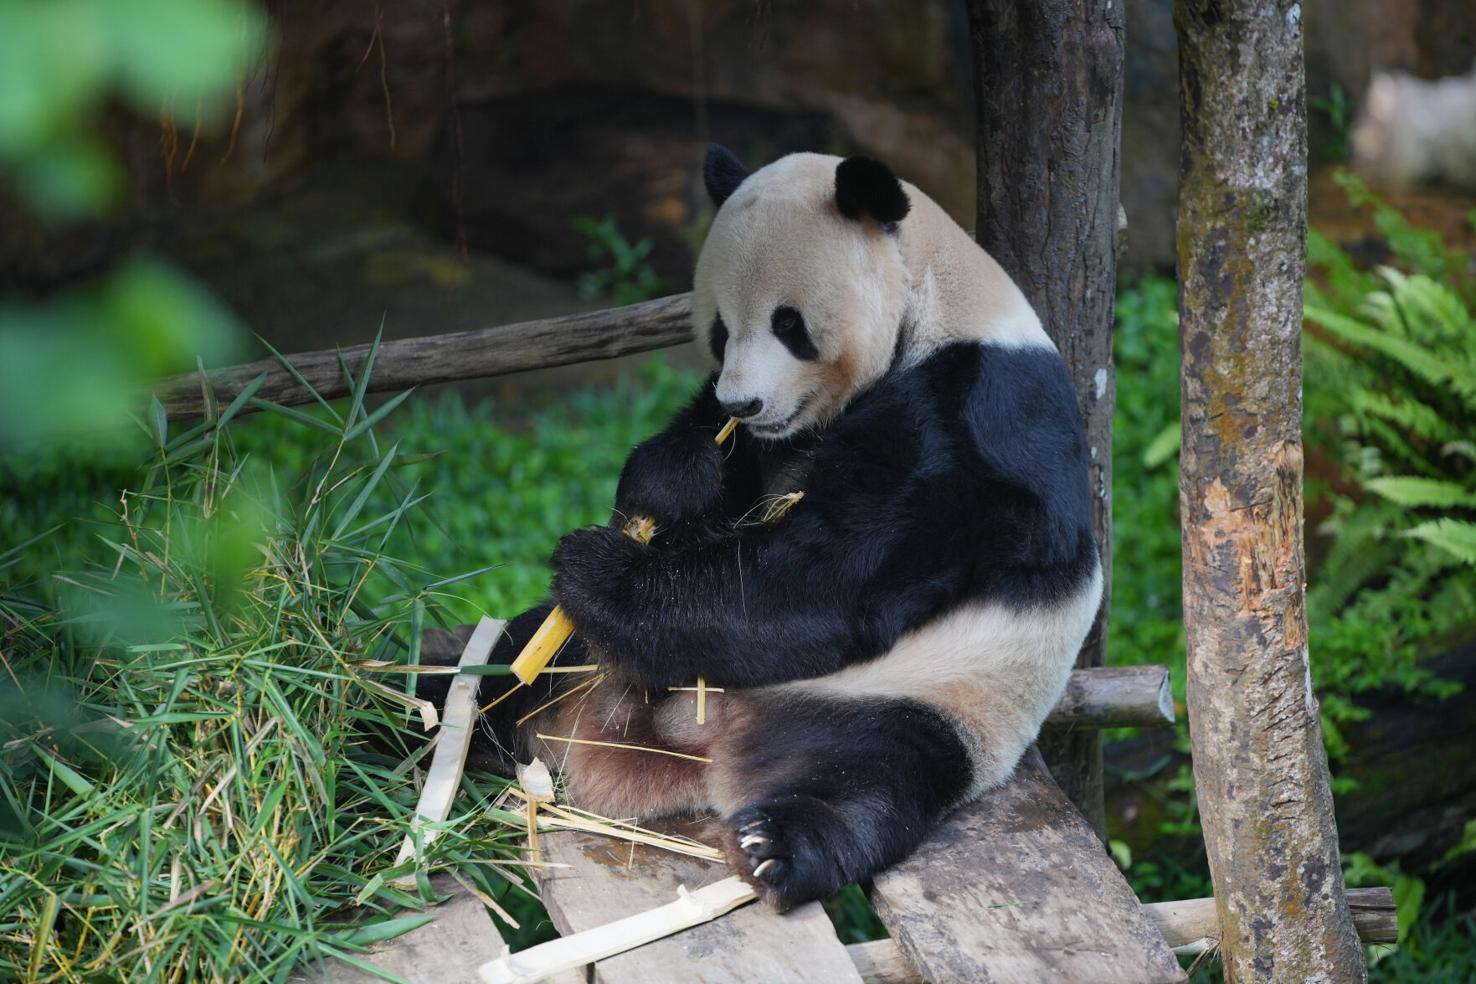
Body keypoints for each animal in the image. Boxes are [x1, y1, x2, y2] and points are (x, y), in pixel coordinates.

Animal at [435, 146, 1102, 909]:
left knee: (873, 780)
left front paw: (598, 569)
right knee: (503, 669)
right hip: (585, 663)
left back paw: (779, 845)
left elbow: (831, 577)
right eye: (721, 329)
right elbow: (716, 485)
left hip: (936, 702)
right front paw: (675, 475)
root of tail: (705, 749)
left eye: (790, 324)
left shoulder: (975, 418)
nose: (744, 402)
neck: (938, 302)